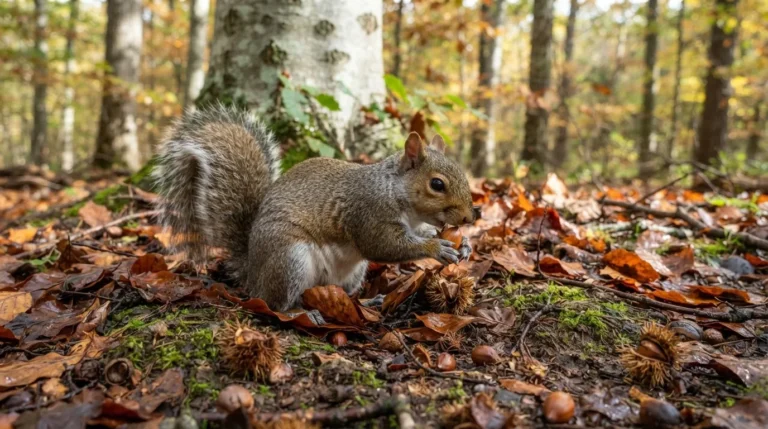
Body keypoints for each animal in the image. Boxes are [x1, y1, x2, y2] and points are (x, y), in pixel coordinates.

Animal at [154, 104, 477, 311]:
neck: (396, 192)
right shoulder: (368, 212)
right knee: (277, 304)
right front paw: (436, 248)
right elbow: (382, 246)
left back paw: (364, 302)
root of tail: (253, 275)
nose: (468, 217)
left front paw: (465, 245)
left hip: (352, 274)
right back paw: (302, 311)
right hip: (289, 259)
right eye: (437, 184)